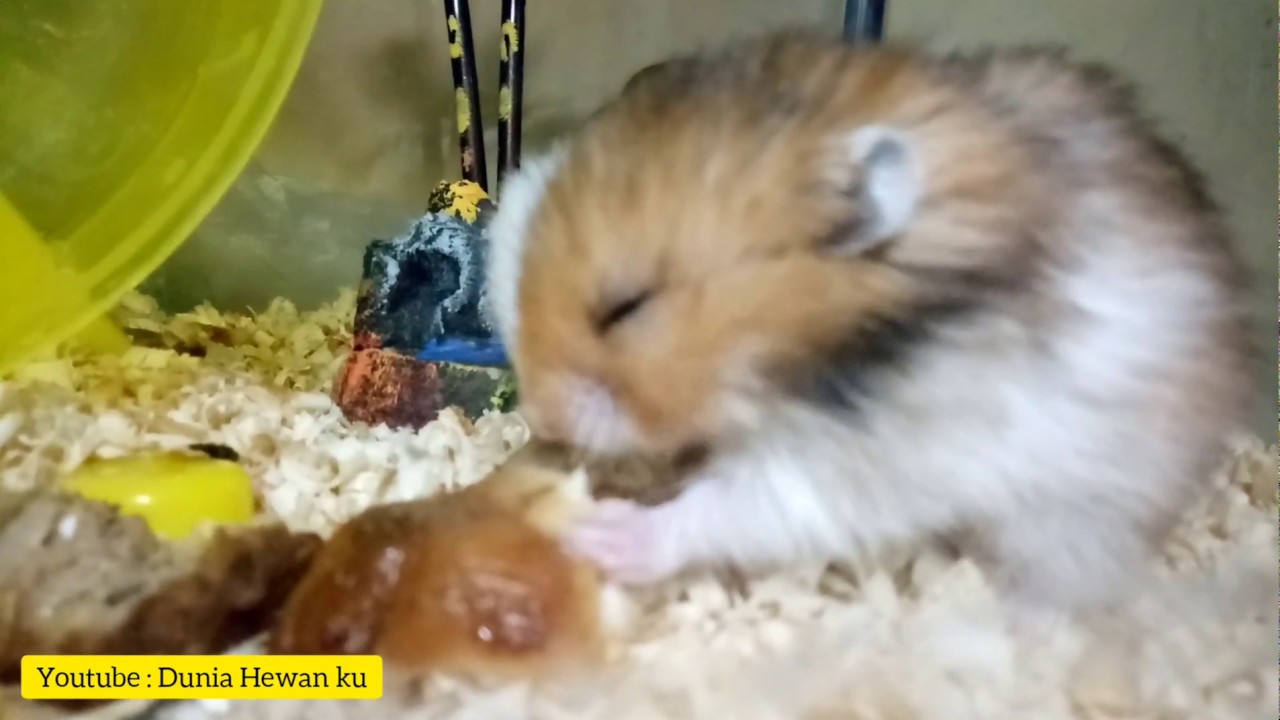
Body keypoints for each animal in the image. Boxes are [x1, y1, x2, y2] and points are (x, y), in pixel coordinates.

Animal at [482, 32, 1254, 611]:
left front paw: (607, 535)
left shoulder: (884, 451)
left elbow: (747, 502)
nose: (537, 417)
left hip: (1082, 516)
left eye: (628, 307)